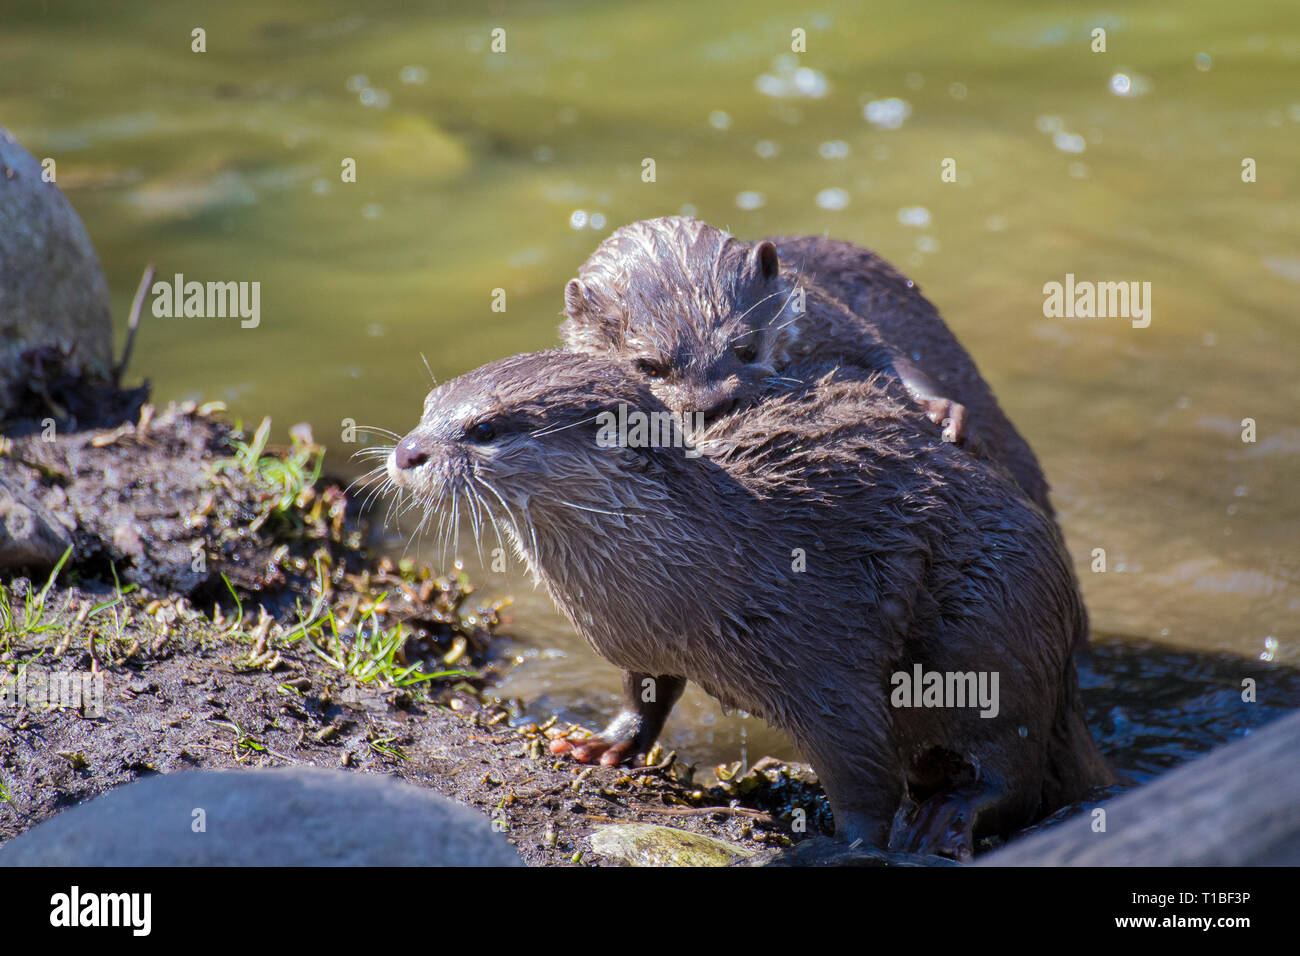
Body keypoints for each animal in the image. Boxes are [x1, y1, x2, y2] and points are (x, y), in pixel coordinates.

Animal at [386, 349, 1111, 857]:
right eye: (425, 407)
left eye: (485, 428)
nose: (407, 451)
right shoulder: (642, 642)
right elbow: (645, 694)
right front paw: (600, 745)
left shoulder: (825, 662)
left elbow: (862, 772)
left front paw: (848, 845)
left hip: (999, 626)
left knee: (1011, 769)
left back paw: (944, 816)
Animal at [560, 217, 1052, 515]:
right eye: (647, 364)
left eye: (747, 347)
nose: (711, 404)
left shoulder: (824, 311)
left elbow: (887, 354)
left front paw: (945, 412)